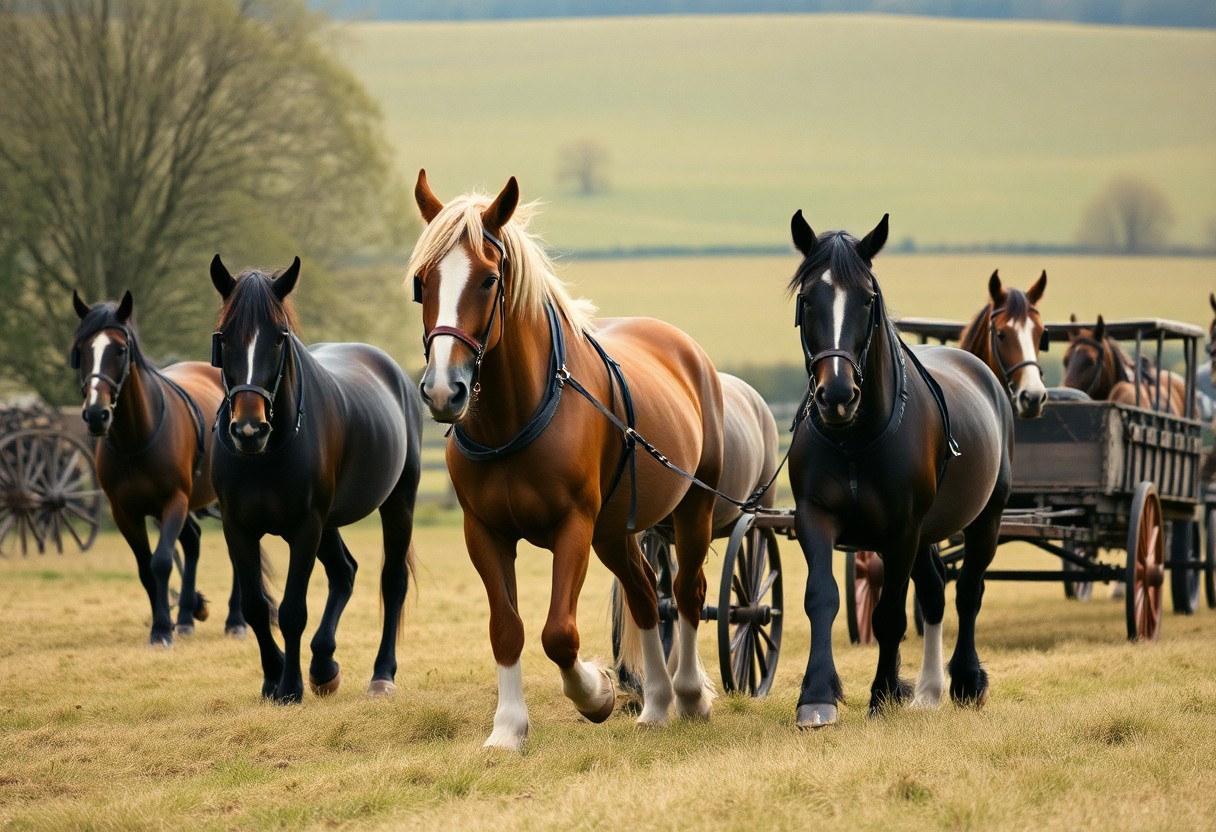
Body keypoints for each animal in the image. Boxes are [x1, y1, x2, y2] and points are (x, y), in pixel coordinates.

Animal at [70, 290, 247, 645]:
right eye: (82, 349)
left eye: (120, 349)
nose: (96, 414)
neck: (137, 438)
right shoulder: (125, 512)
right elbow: (145, 568)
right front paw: (164, 623)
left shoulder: (174, 501)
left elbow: (162, 562)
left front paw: (163, 630)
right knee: (192, 542)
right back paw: (187, 617)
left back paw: (235, 621)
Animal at [208, 256, 423, 703]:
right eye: (225, 337)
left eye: (279, 338)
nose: (249, 430)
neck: (266, 455)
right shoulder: (238, 528)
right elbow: (257, 606)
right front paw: (272, 677)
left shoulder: (305, 528)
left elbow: (292, 610)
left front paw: (289, 687)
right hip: (330, 523)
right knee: (344, 572)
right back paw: (324, 665)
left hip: (398, 503)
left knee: (391, 582)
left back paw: (381, 675)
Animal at [409, 170, 724, 751]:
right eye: (422, 281)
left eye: (489, 280)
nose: (444, 390)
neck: (513, 422)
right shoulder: (484, 531)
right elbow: (506, 629)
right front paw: (508, 729)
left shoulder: (573, 525)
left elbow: (559, 633)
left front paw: (595, 694)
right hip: (614, 532)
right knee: (645, 596)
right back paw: (656, 705)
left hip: (693, 509)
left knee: (687, 594)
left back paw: (689, 696)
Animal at [786, 211, 1013, 727]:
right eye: (807, 299)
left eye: (868, 299)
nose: (836, 395)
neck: (854, 439)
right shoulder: (814, 516)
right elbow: (822, 596)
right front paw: (817, 697)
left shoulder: (902, 529)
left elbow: (889, 613)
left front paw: (882, 693)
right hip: (929, 531)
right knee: (933, 591)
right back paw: (929, 689)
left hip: (985, 519)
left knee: (967, 591)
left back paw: (965, 679)